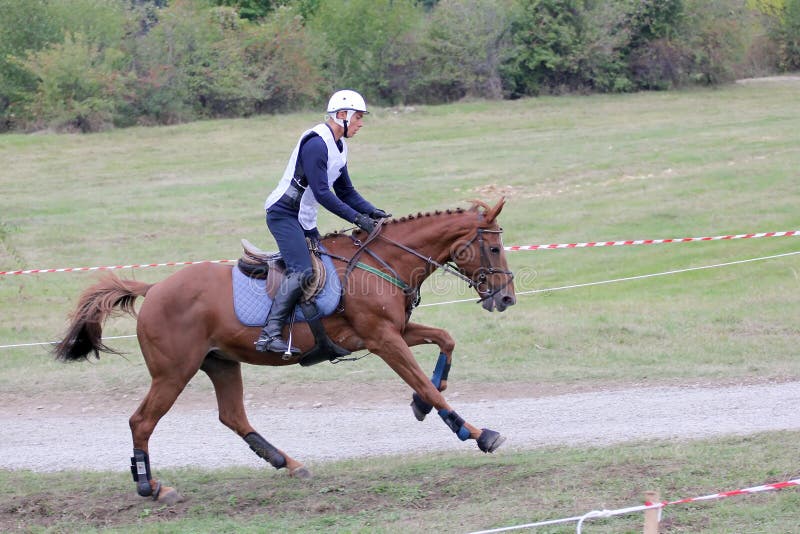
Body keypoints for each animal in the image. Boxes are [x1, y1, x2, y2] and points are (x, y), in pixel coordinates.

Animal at [54, 198, 516, 504]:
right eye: (494, 248)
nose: (507, 298)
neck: (382, 262)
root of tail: (153, 289)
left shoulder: (396, 331)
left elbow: (445, 342)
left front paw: (423, 406)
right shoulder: (384, 339)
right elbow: (428, 383)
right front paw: (477, 433)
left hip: (221, 364)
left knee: (233, 416)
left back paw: (288, 463)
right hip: (173, 373)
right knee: (142, 421)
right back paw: (150, 485)